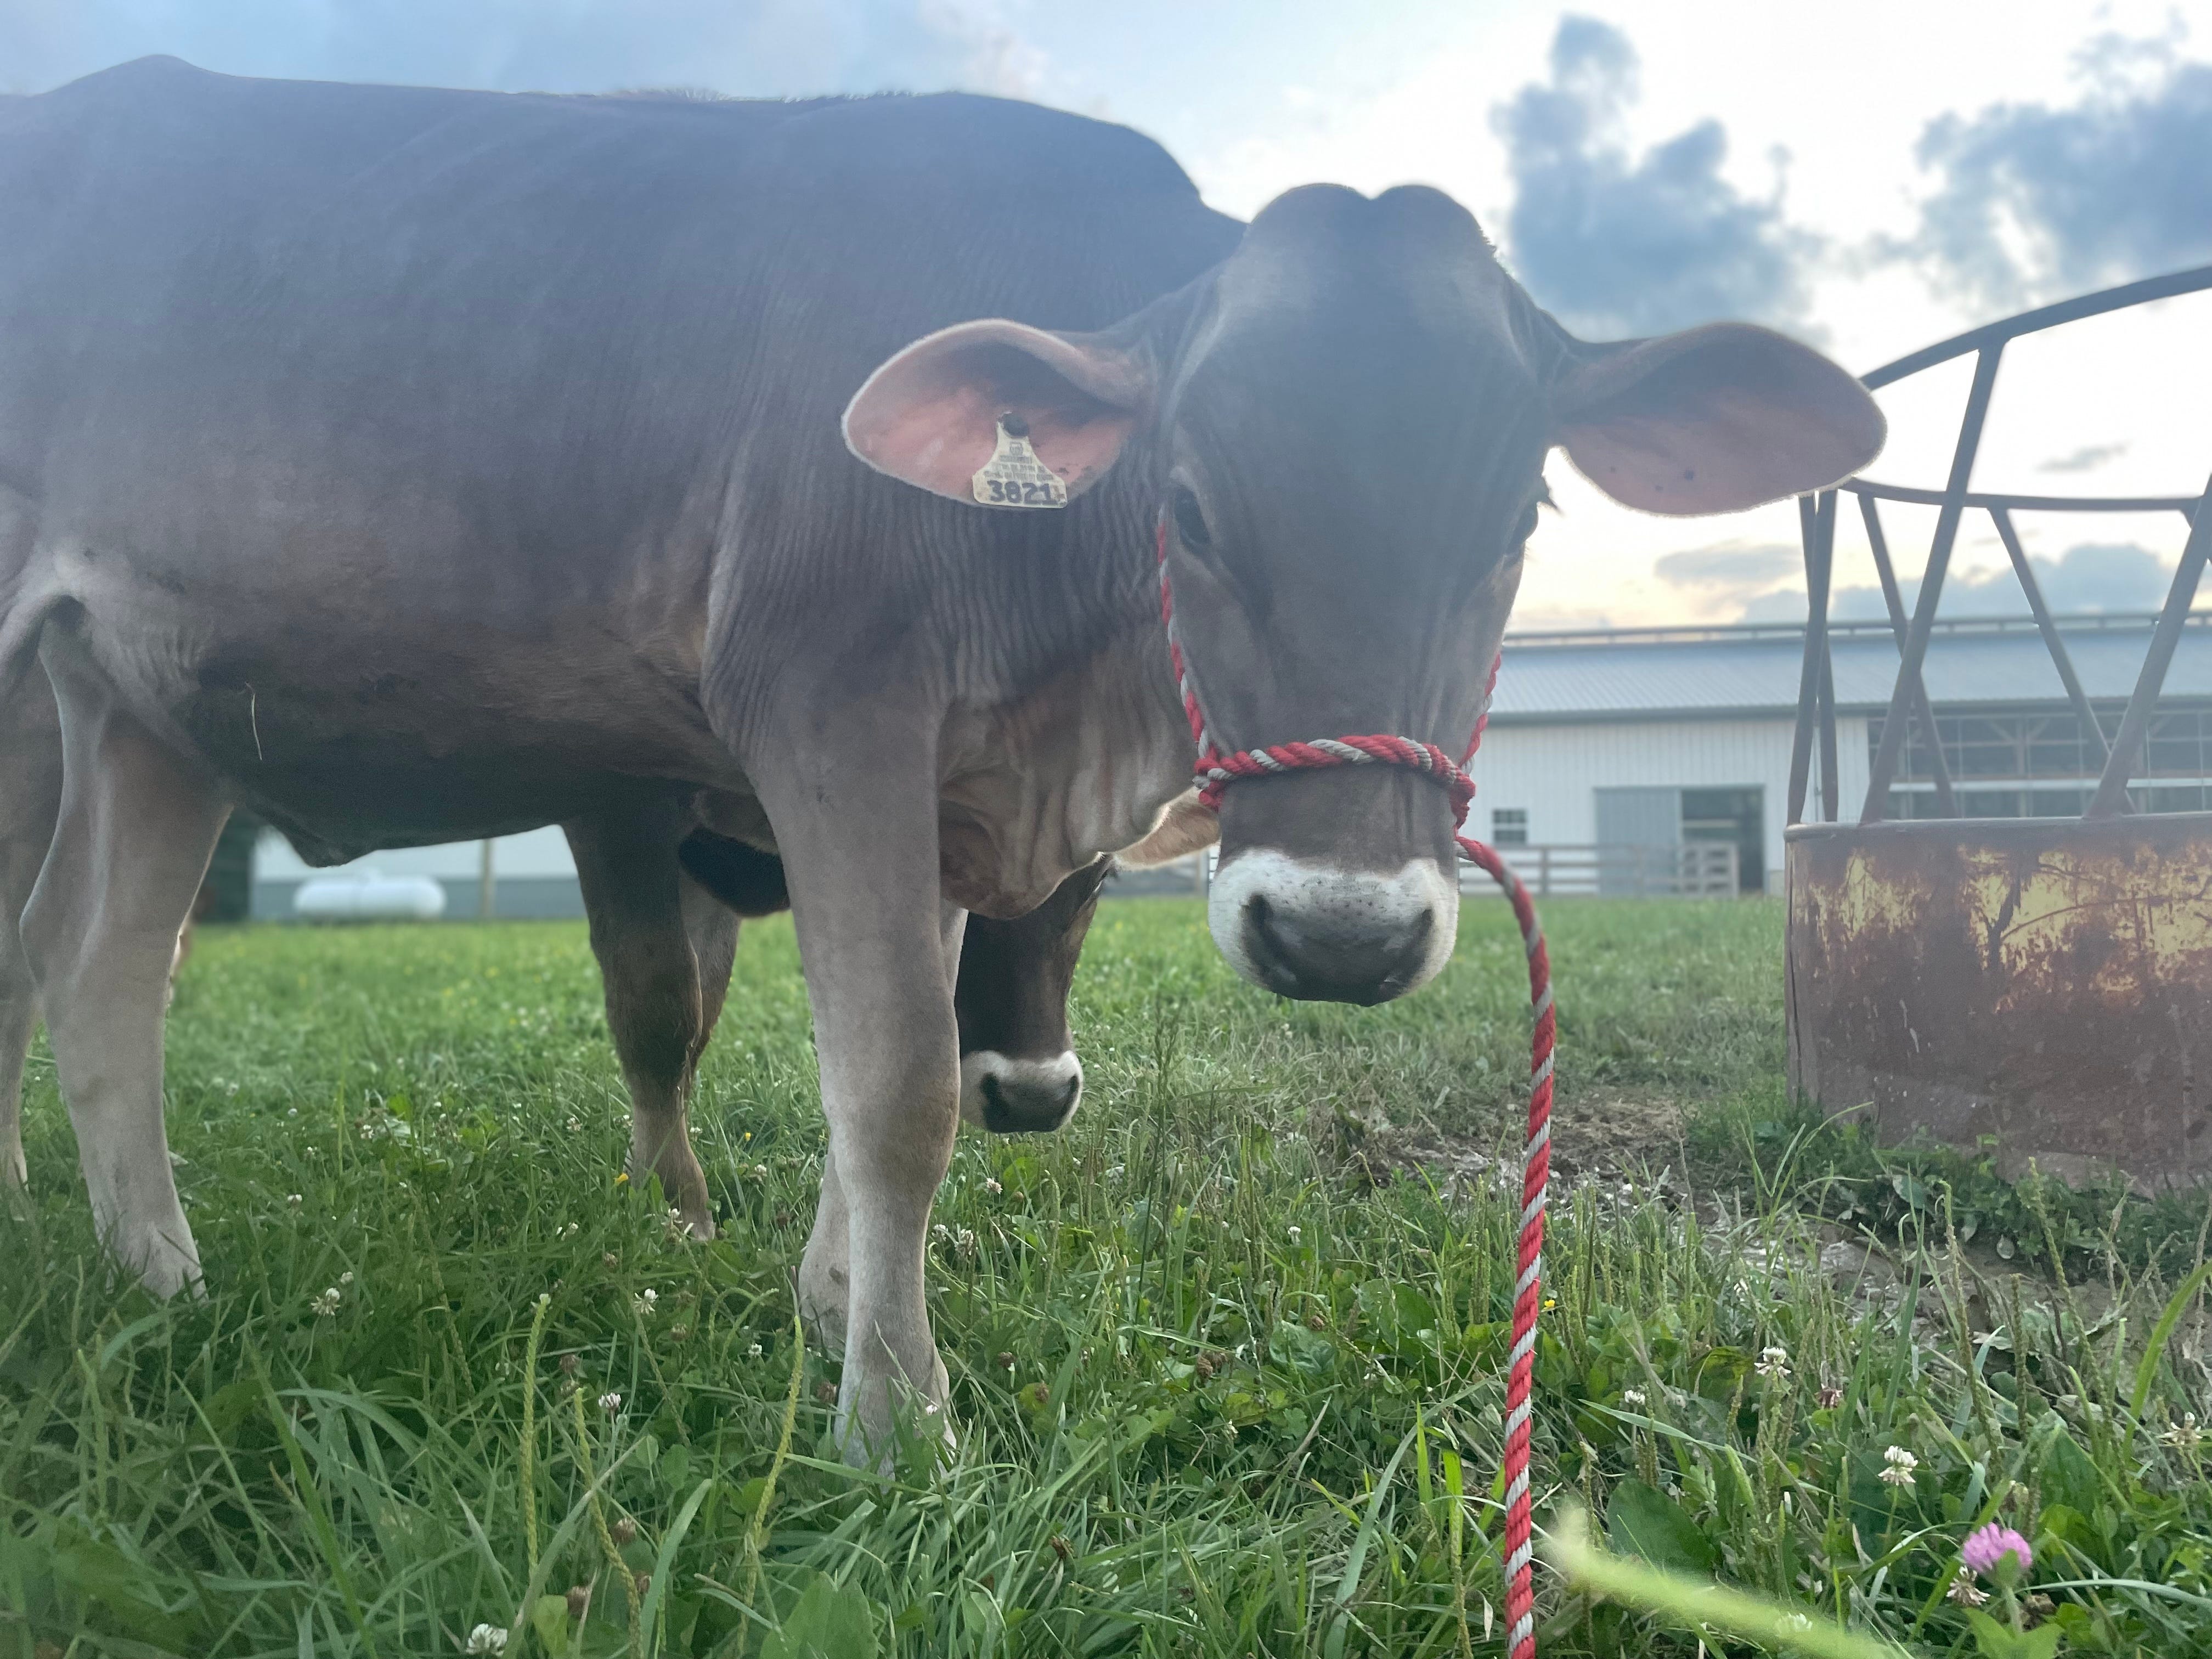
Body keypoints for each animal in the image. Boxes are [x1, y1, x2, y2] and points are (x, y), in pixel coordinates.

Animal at [0, 59, 1880, 1452]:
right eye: (1190, 503)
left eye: (1518, 523)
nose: (1339, 934)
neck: (1075, 705)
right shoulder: (825, 703)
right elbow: (893, 1081)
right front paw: (897, 1416)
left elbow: (897, 1073)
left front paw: (837, 1307)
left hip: (150, 708)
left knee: (94, 978)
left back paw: (156, 1279)